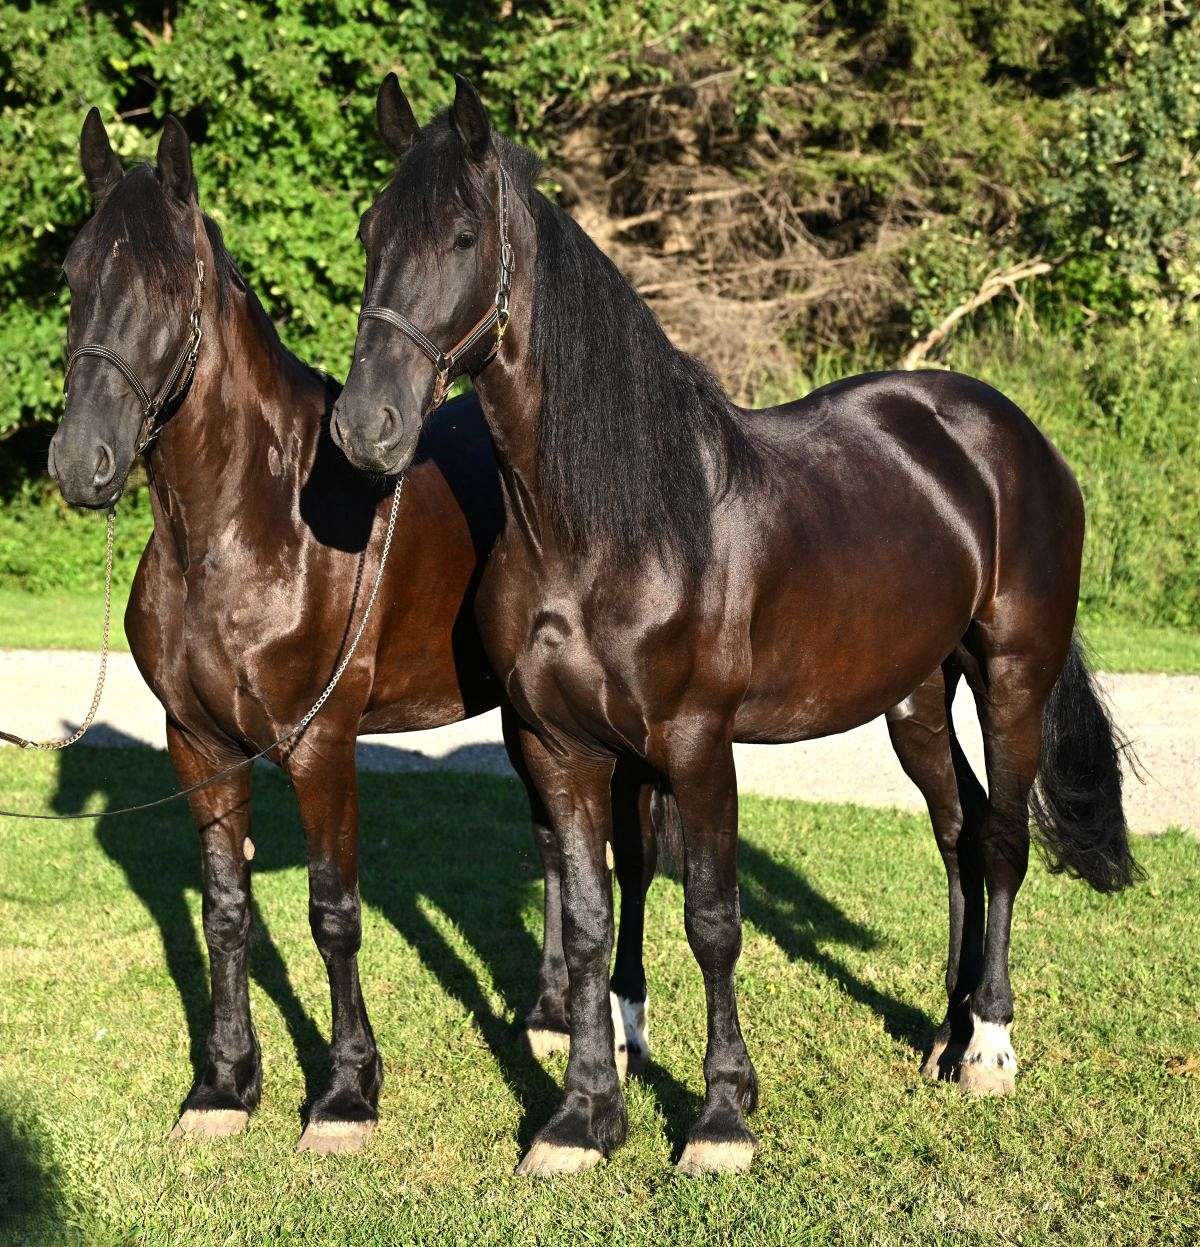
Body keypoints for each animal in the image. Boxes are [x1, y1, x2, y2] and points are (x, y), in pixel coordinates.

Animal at [48, 108, 664, 1153]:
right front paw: (225, 1086)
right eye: (73, 277)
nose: (79, 460)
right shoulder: (197, 742)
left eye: (168, 286)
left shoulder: (321, 743)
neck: (249, 524)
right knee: (553, 841)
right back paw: (548, 1017)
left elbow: (331, 912)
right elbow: (225, 912)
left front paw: (345, 1094)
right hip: (526, 717)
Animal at [331, 74, 1139, 1177]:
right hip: (917, 697)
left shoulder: (697, 745)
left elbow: (712, 919)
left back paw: (991, 1048)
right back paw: (944, 1031)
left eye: (461, 235)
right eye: (370, 231)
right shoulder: (559, 745)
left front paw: (720, 1116)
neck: (606, 529)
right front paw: (582, 1117)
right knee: (960, 832)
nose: (363, 427)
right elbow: (588, 922)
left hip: (1010, 672)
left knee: (1008, 838)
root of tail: (1009, 436)